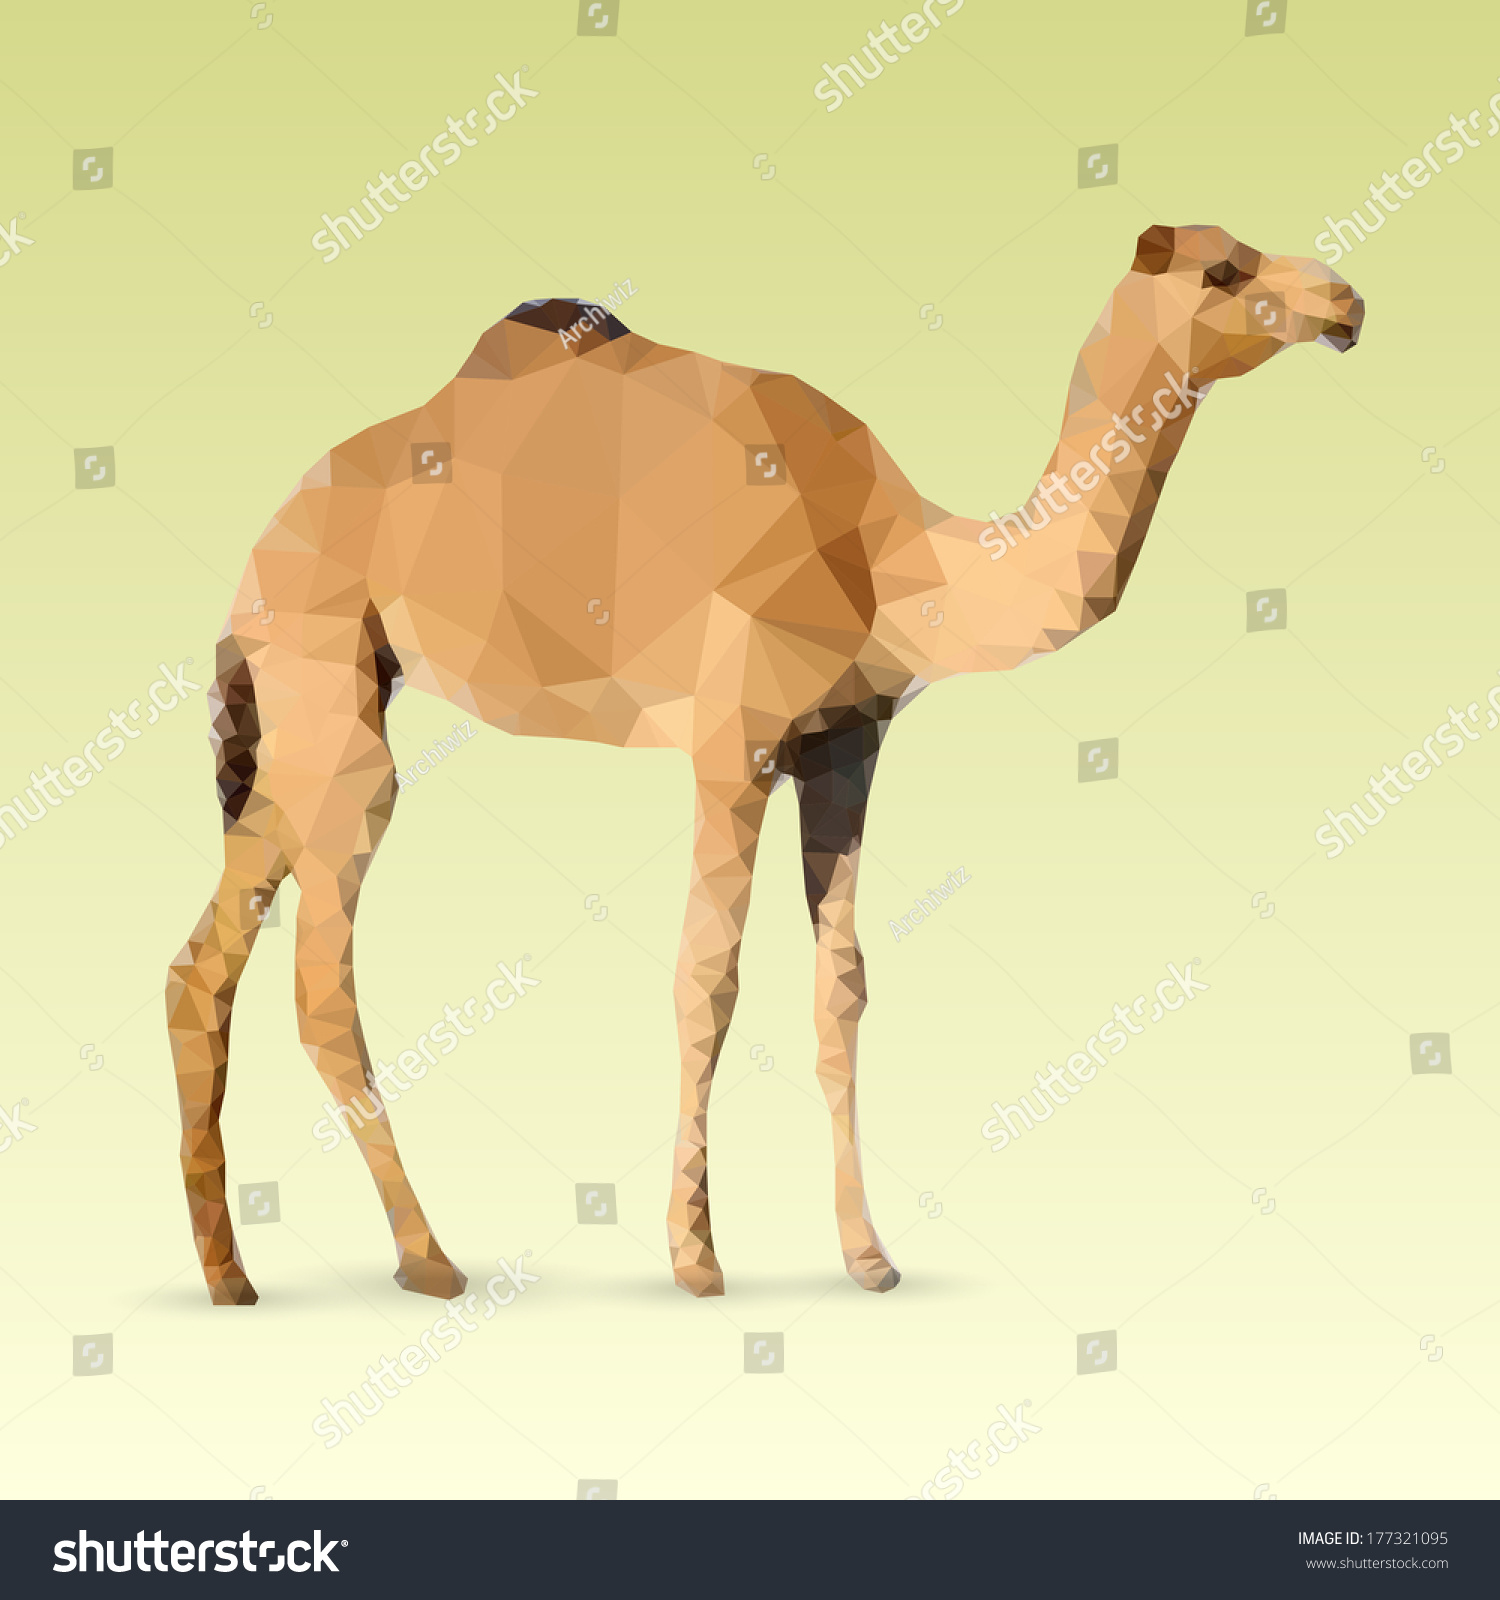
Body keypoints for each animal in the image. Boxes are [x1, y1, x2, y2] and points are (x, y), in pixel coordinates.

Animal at [166, 224, 1363, 1304]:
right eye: (1224, 268)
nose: (1346, 302)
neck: (901, 563)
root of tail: (258, 550)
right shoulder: (728, 738)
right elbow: (708, 980)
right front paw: (697, 1258)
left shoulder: (846, 746)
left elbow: (844, 988)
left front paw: (869, 1258)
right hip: (327, 671)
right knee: (323, 975)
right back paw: (428, 1260)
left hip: (310, 706)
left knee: (205, 962)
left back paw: (230, 1274)